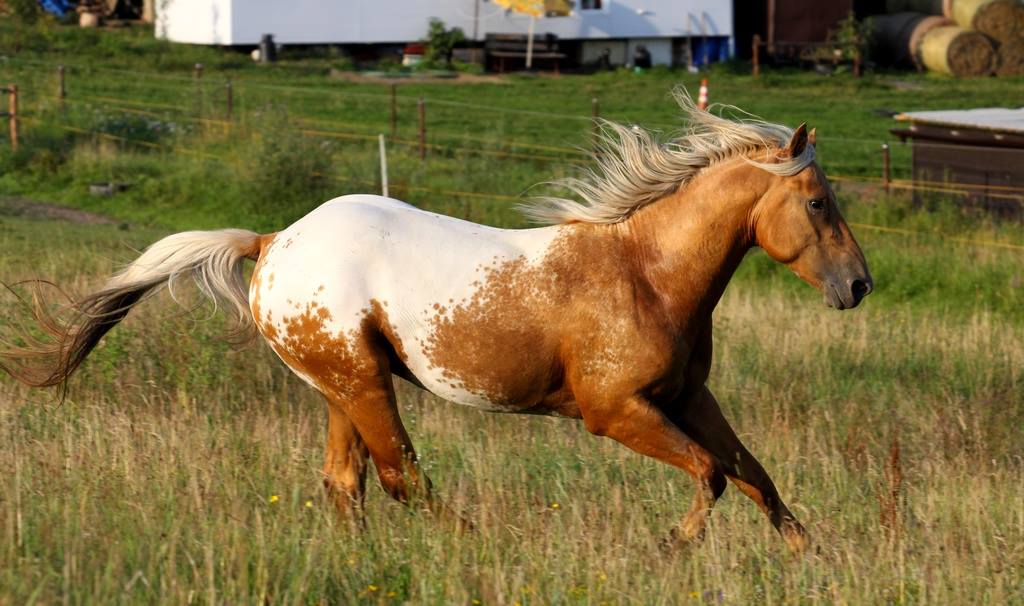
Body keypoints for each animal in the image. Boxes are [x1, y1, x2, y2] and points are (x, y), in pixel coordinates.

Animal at [1, 91, 872, 551]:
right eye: (817, 203)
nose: (859, 286)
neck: (645, 276)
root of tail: (272, 240)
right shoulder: (615, 411)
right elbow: (712, 473)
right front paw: (672, 548)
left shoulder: (688, 397)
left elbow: (752, 473)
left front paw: (808, 556)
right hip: (361, 379)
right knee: (402, 478)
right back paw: (481, 543)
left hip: (343, 385)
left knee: (346, 480)